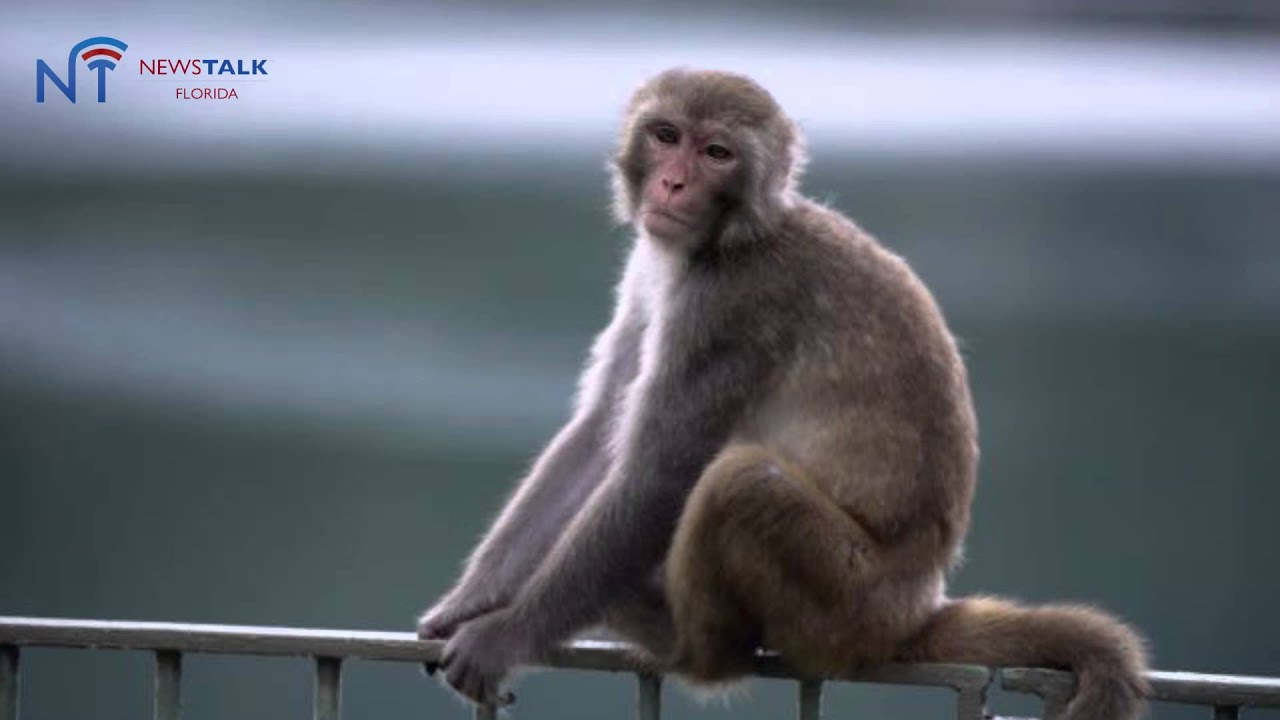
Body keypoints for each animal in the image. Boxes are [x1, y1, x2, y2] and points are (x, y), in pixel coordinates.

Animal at [417, 68, 1148, 720]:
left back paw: (685, 645)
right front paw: (470, 600)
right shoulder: (654, 272)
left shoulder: (730, 307)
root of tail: (917, 609)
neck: (729, 238)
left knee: (744, 483)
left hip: (846, 600)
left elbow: (659, 472)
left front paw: (505, 635)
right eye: (665, 135)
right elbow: (599, 430)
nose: (673, 182)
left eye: (716, 154)